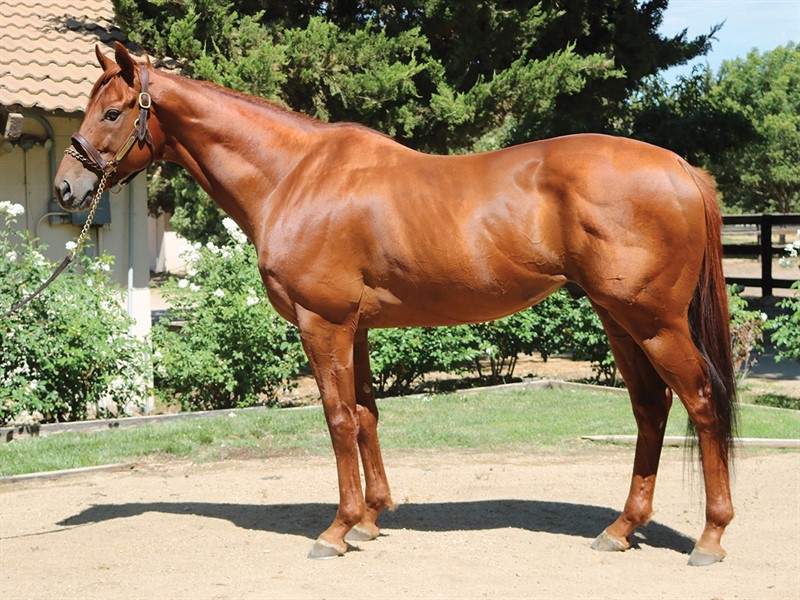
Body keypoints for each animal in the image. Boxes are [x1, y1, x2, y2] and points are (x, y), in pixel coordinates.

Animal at [55, 43, 736, 566]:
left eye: (112, 111)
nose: (67, 187)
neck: (294, 175)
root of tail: (680, 168)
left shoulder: (322, 323)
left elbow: (337, 419)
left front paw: (336, 530)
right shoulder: (354, 326)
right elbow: (365, 414)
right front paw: (370, 519)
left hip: (654, 322)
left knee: (701, 403)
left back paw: (710, 536)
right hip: (619, 319)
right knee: (651, 408)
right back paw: (621, 529)